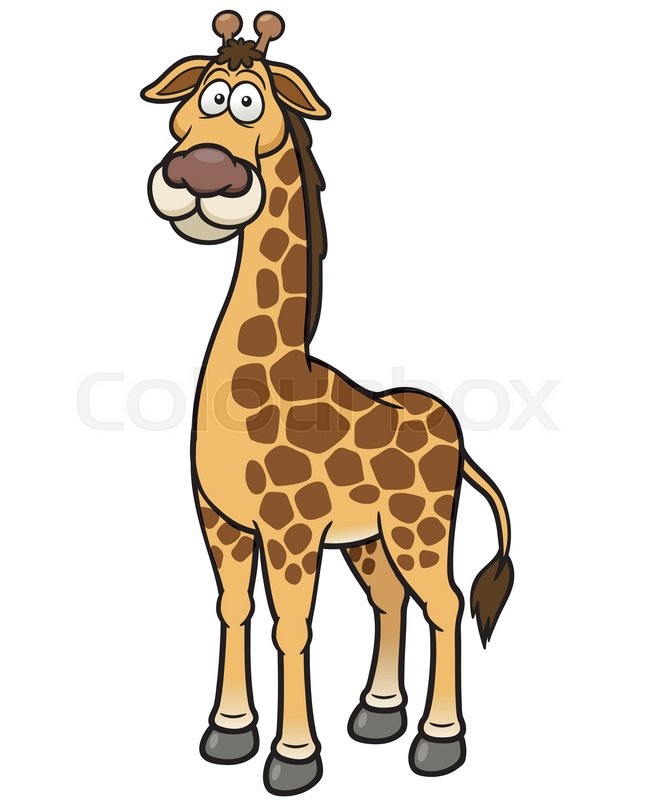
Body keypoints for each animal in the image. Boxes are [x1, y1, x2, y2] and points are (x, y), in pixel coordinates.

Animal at [141, 11, 514, 795]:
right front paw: (228, 733)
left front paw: (293, 759)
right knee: (390, 599)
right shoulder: (221, 519)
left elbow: (292, 626)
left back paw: (437, 743)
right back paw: (376, 716)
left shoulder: (291, 529)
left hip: (418, 527)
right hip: (369, 540)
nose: (201, 177)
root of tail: (458, 437)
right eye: (202, 97)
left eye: (248, 103)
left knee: (444, 602)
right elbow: (233, 607)